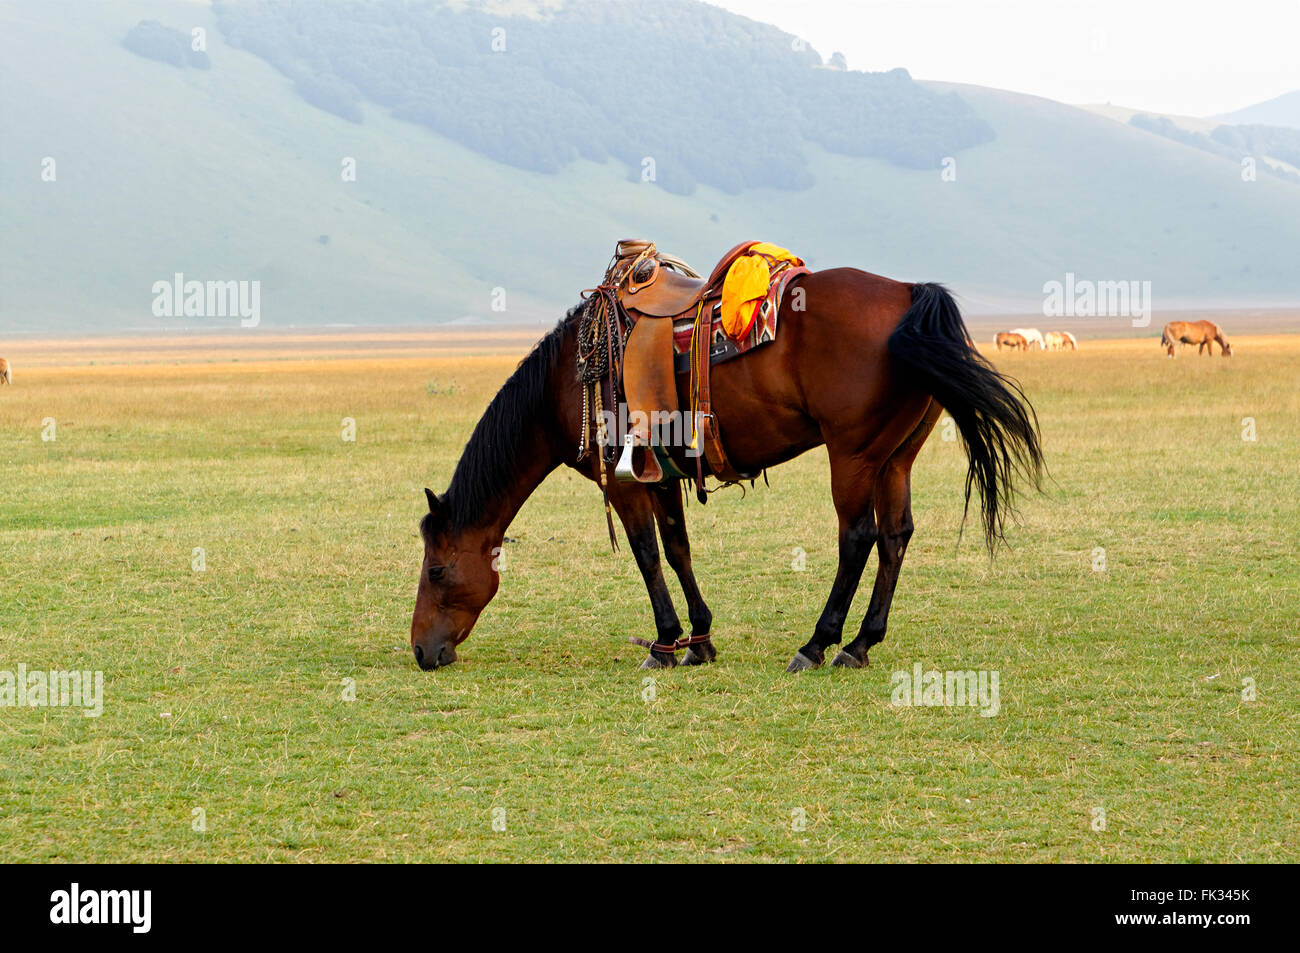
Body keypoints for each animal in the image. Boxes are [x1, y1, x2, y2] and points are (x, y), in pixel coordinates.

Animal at [411, 272, 1044, 673]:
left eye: (438, 570)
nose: (420, 651)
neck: (564, 378)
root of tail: (909, 293)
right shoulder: (660, 476)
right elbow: (677, 549)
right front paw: (699, 641)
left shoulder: (624, 481)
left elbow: (646, 553)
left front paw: (664, 644)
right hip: (897, 456)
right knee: (895, 537)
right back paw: (861, 644)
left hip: (854, 455)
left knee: (858, 537)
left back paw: (818, 644)